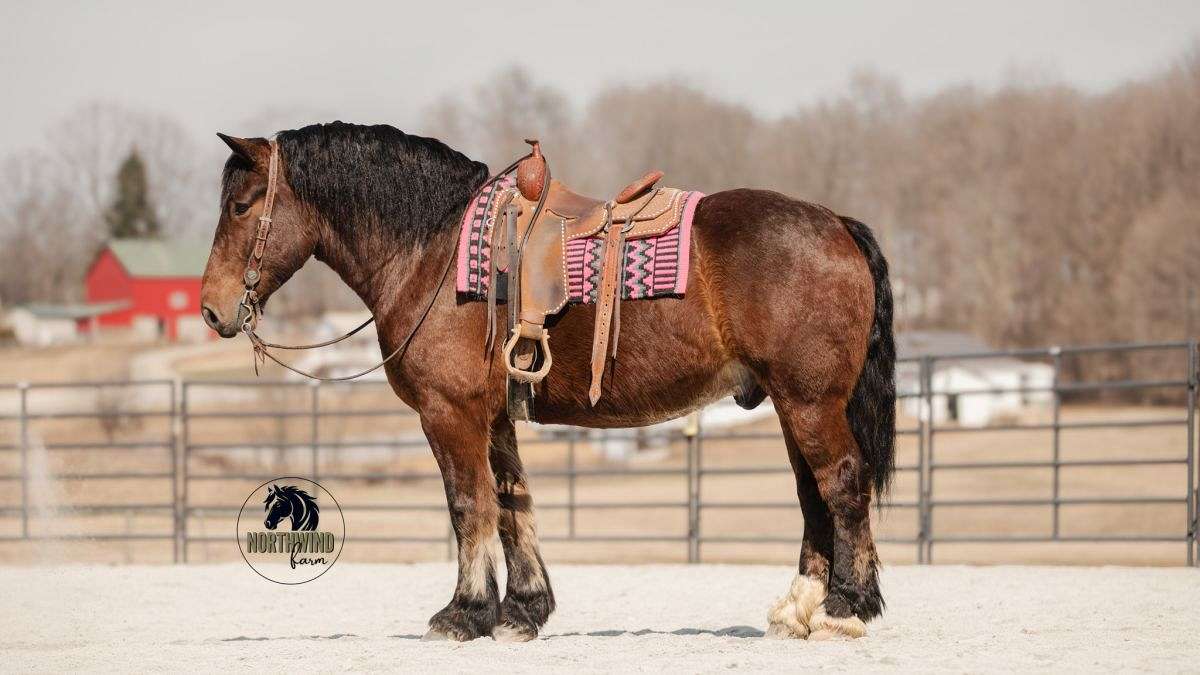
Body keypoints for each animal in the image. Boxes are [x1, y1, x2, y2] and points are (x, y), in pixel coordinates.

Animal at [200, 122, 896, 642]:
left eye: (240, 206)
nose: (211, 309)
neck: (432, 252)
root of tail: (836, 223)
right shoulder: (493, 416)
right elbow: (512, 504)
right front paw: (522, 609)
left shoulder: (449, 413)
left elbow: (468, 505)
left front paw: (464, 612)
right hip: (792, 403)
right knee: (812, 493)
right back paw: (799, 608)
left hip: (809, 401)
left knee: (841, 483)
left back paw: (845, 608)